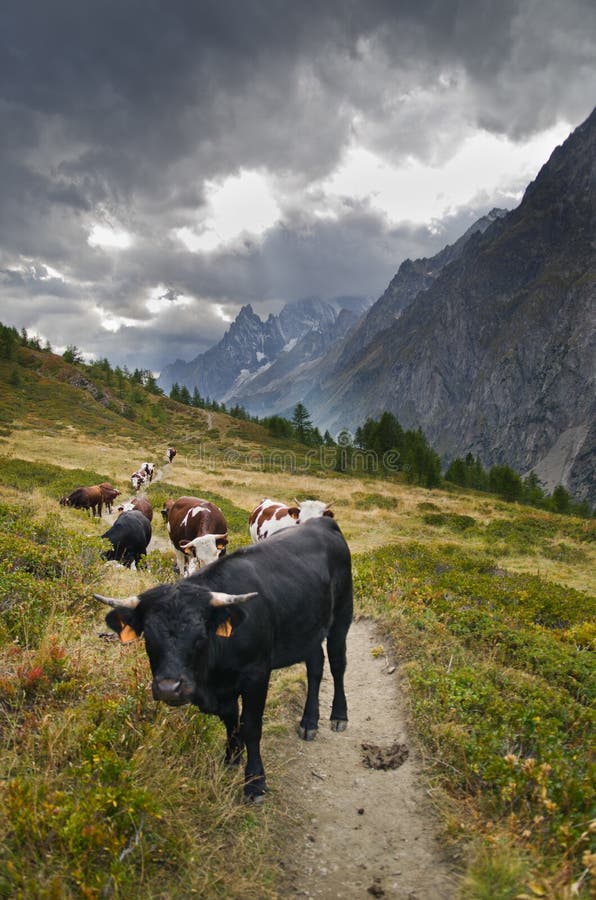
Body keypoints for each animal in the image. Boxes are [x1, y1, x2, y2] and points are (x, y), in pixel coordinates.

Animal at [95, 515, 353, 800]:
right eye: (149, 638)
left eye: (201, 636)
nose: (169, 688)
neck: (211, 680)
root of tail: (322, 521)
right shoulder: (224, 690)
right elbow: (231, 720)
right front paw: (232, 757)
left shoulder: (256, 675)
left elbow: (250, 725)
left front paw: (254, 782)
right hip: (309, 628)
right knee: (315, 666)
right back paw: (309, 721)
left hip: (342, 615)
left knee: (338, 664)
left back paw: (338, 715)